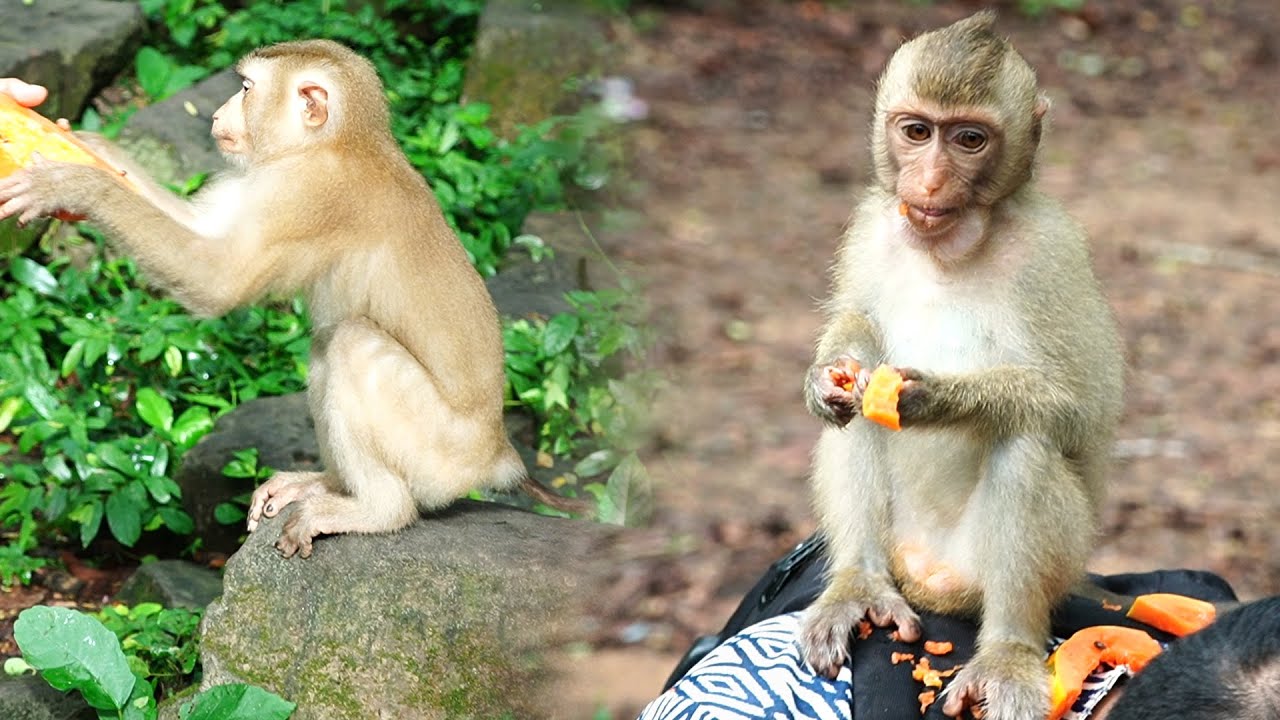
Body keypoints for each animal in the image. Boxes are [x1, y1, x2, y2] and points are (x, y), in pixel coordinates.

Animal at [0, 40, 582, 559]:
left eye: (245, 89)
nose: (218, 113)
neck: (337, 143)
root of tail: (498, 451)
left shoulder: (306, 193)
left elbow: (218, 278)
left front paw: (75, 185)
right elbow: (203, 233)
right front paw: (86, 147)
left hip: (440, 454)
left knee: (350, 344)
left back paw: (377, 511)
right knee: (327, 346)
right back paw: (324, 484)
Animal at [798, 12, 1123, 720]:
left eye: (970, 139)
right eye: (918, 131)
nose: (927, 183)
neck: (951, 245)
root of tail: (936, 584)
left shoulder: (1052, 253)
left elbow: (1079, 410)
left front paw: (932, 398)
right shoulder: (872, 223)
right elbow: (857, 330)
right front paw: (826, 374)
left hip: (1039, 563)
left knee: (1025, 442)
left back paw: (1007, 651)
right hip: (901, 545)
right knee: (856, 417)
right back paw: (858, 584)